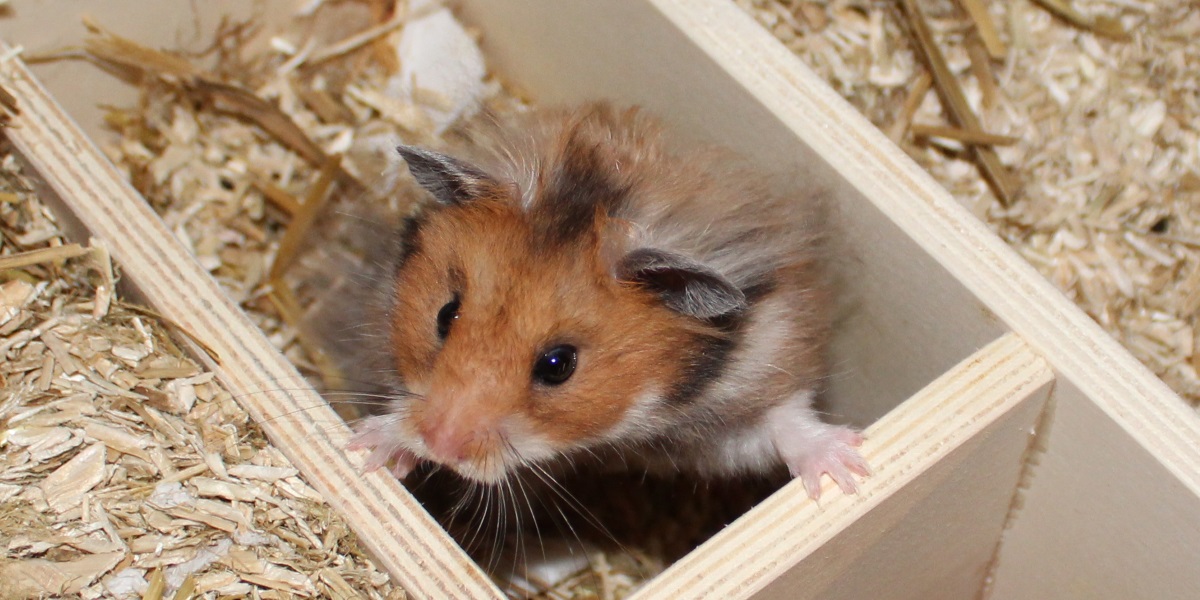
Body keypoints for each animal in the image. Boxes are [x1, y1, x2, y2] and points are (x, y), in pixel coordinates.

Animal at [348, 103, 868, 500]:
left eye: (558, 364)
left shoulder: (758, 374)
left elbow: (785, 421)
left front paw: (849, 469)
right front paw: (369, 446)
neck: (622, 429)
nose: (440, 444)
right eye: (445, 314)